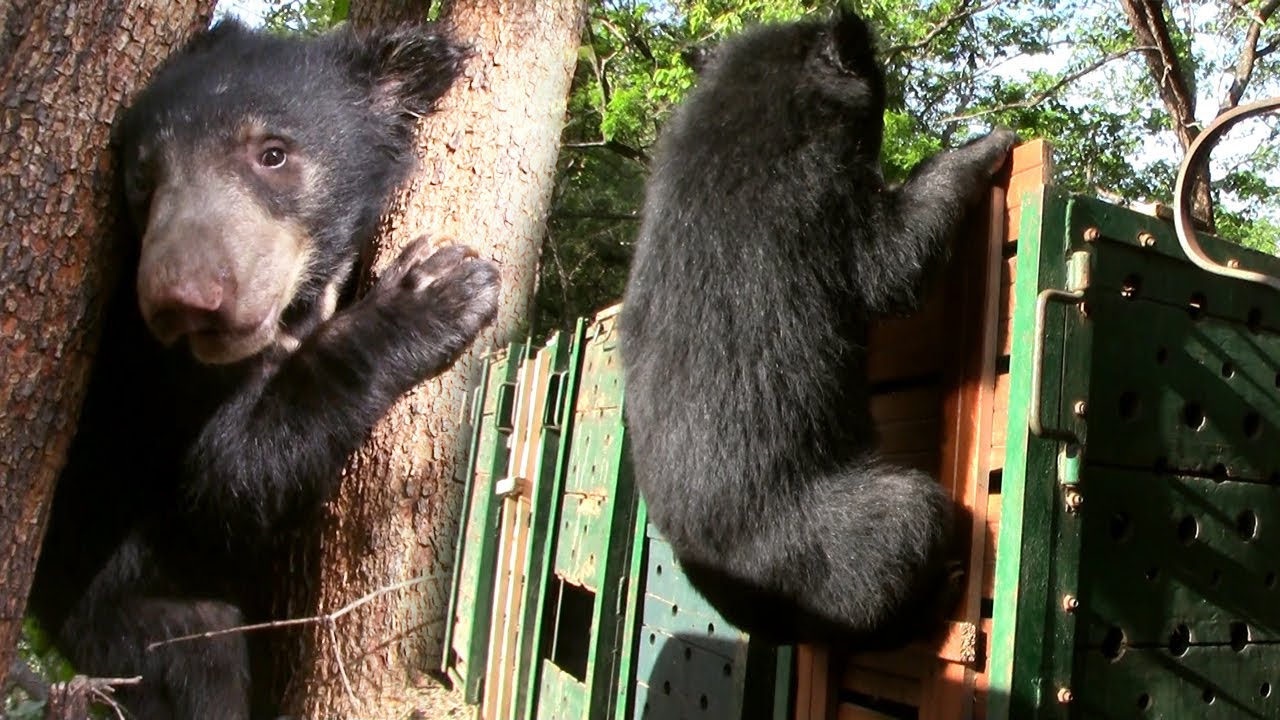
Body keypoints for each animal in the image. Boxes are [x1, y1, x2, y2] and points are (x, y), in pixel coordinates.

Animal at [25, 19, 499, 720]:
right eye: (143, 179)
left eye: (272, 154)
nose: (184, 301)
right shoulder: (139, 375)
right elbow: (226, 481)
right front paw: (442, 287)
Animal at [619, 8, 1016, 649]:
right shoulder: (813, 197)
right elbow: (891, 264)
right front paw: (987, 143)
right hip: (828, 536)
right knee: (898, 540)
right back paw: (941, 589)